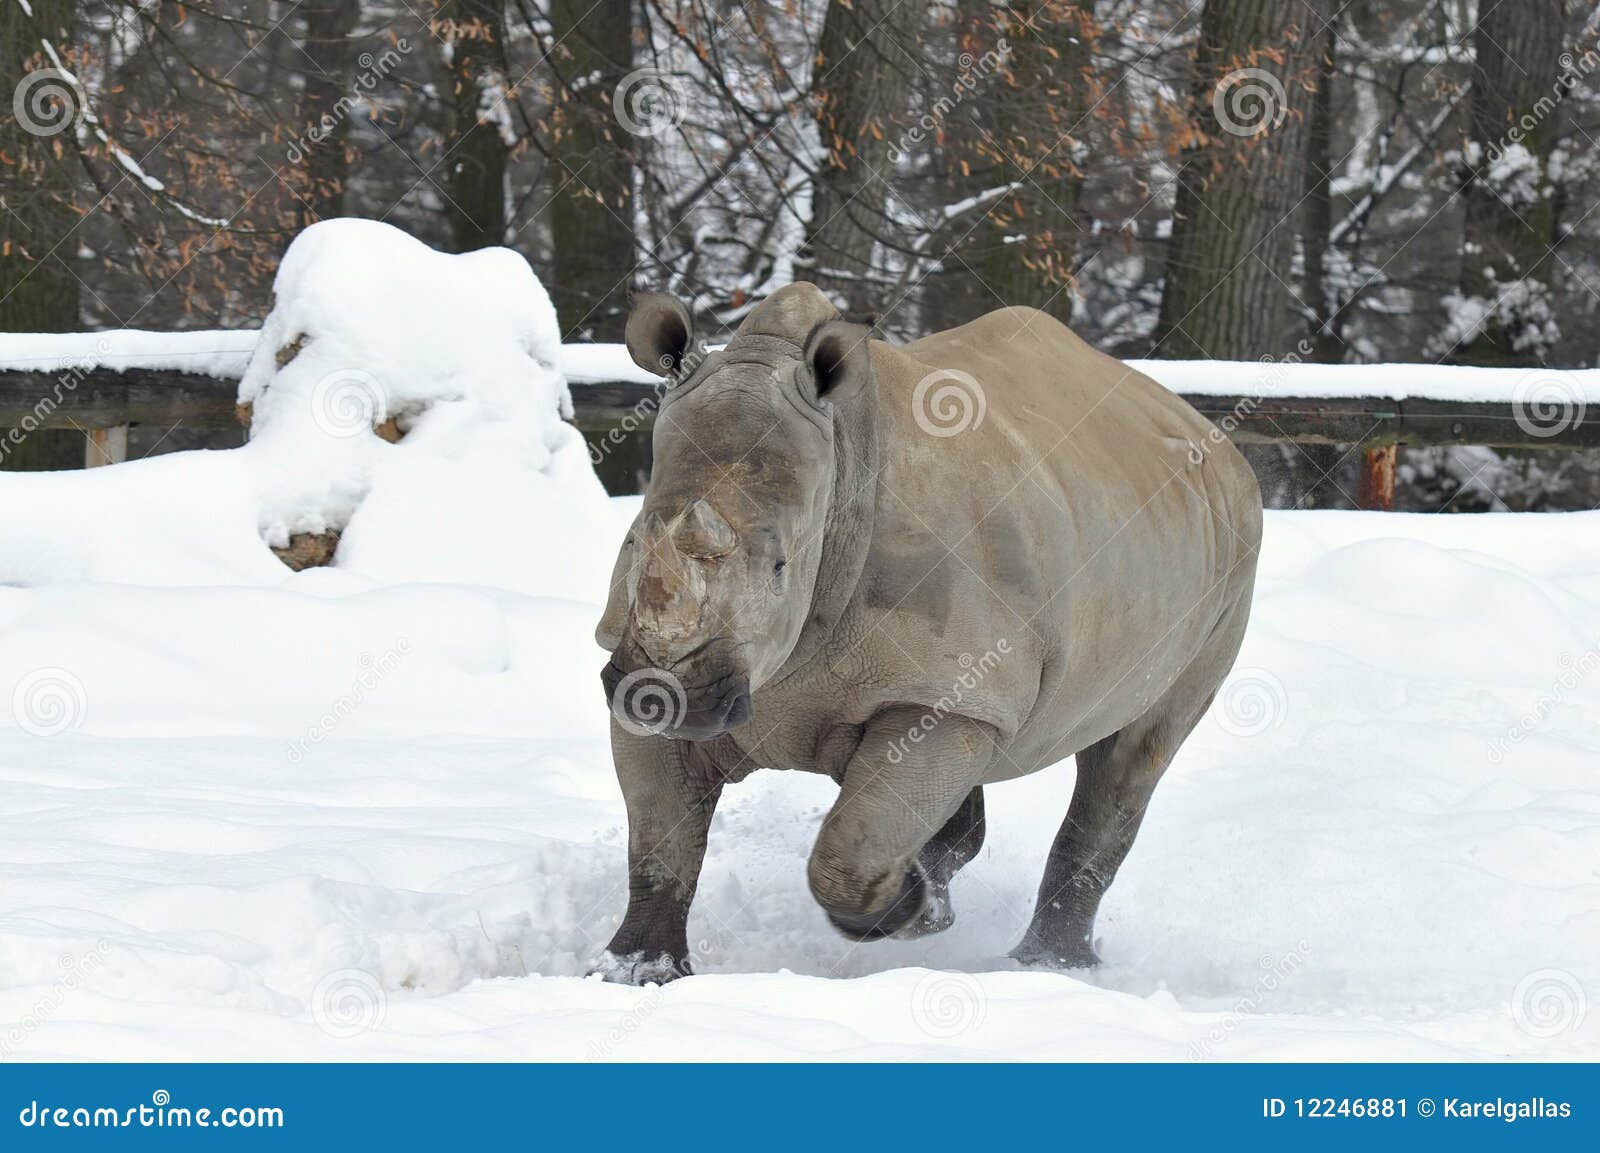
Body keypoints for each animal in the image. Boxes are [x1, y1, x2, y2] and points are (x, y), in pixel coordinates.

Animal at [594, 283, 1262, 983]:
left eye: (779, 565)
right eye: (635, 540)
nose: (670, 697)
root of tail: (1218, 445)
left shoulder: (945, 684)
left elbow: (850, 847)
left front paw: (903, 911)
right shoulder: (637, 661)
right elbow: (658, 845)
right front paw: (634, 974)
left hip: (1232, 560)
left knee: (1132, 757)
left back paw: (1045, 966)